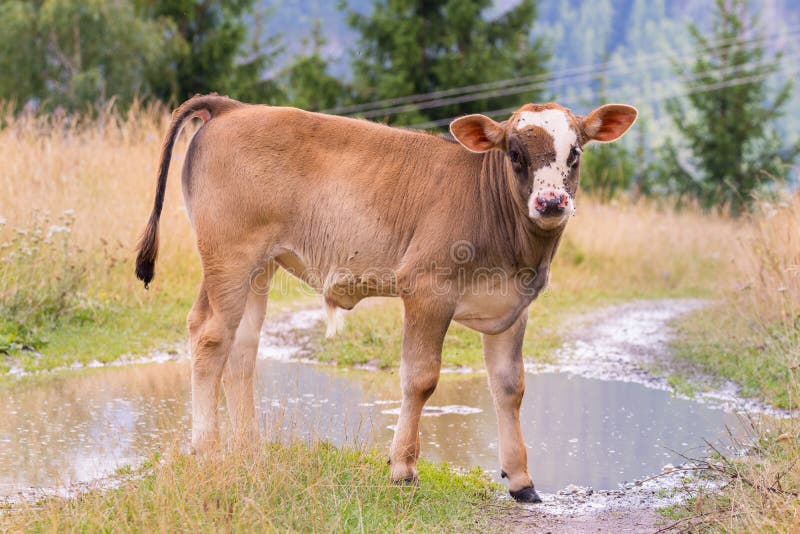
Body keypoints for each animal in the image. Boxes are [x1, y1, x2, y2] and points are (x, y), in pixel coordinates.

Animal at [135, 94, 637, 503]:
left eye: (575, 153)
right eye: (515, 154)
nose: (551, 203)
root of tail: (234, 106)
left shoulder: (513, 308)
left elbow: (510, 387)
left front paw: (521, 480)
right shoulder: (426, 288)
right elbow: (421, 378)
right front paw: (402, 469)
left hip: (261, 266)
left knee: (242, 348)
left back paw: (250, 449)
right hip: (230, 255)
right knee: (210, 336)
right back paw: (207, 450)